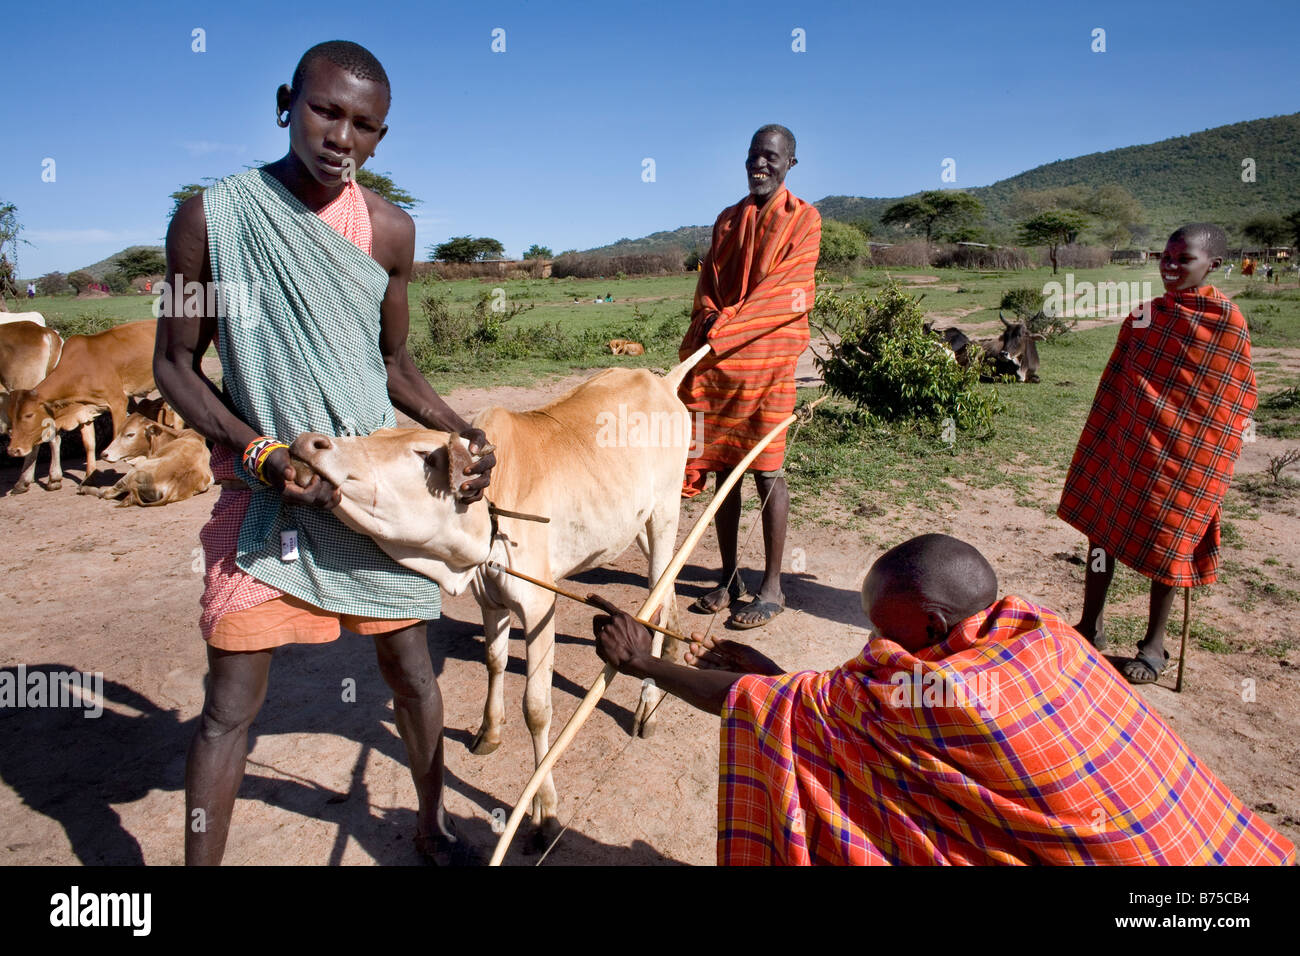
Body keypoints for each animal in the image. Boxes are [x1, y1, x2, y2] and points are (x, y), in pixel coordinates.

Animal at [5, 319, 157, 493]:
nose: (13, 450)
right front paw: (89, 478)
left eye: (29, 414)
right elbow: (89, 445)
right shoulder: (85, 411)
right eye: (10, 416)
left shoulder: (118, 402)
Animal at [288, 345, 710, 843]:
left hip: (665, 510)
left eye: (422, 456)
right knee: (665, 583)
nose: (309, 444)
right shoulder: (489, 598)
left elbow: (538, 708)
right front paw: (489, 732)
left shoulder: (540, 605)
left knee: (658, 586)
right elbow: (495, 660)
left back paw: (648, 702)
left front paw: (544, 806)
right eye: (372, 436)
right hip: (637, 521)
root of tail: (662, 380)